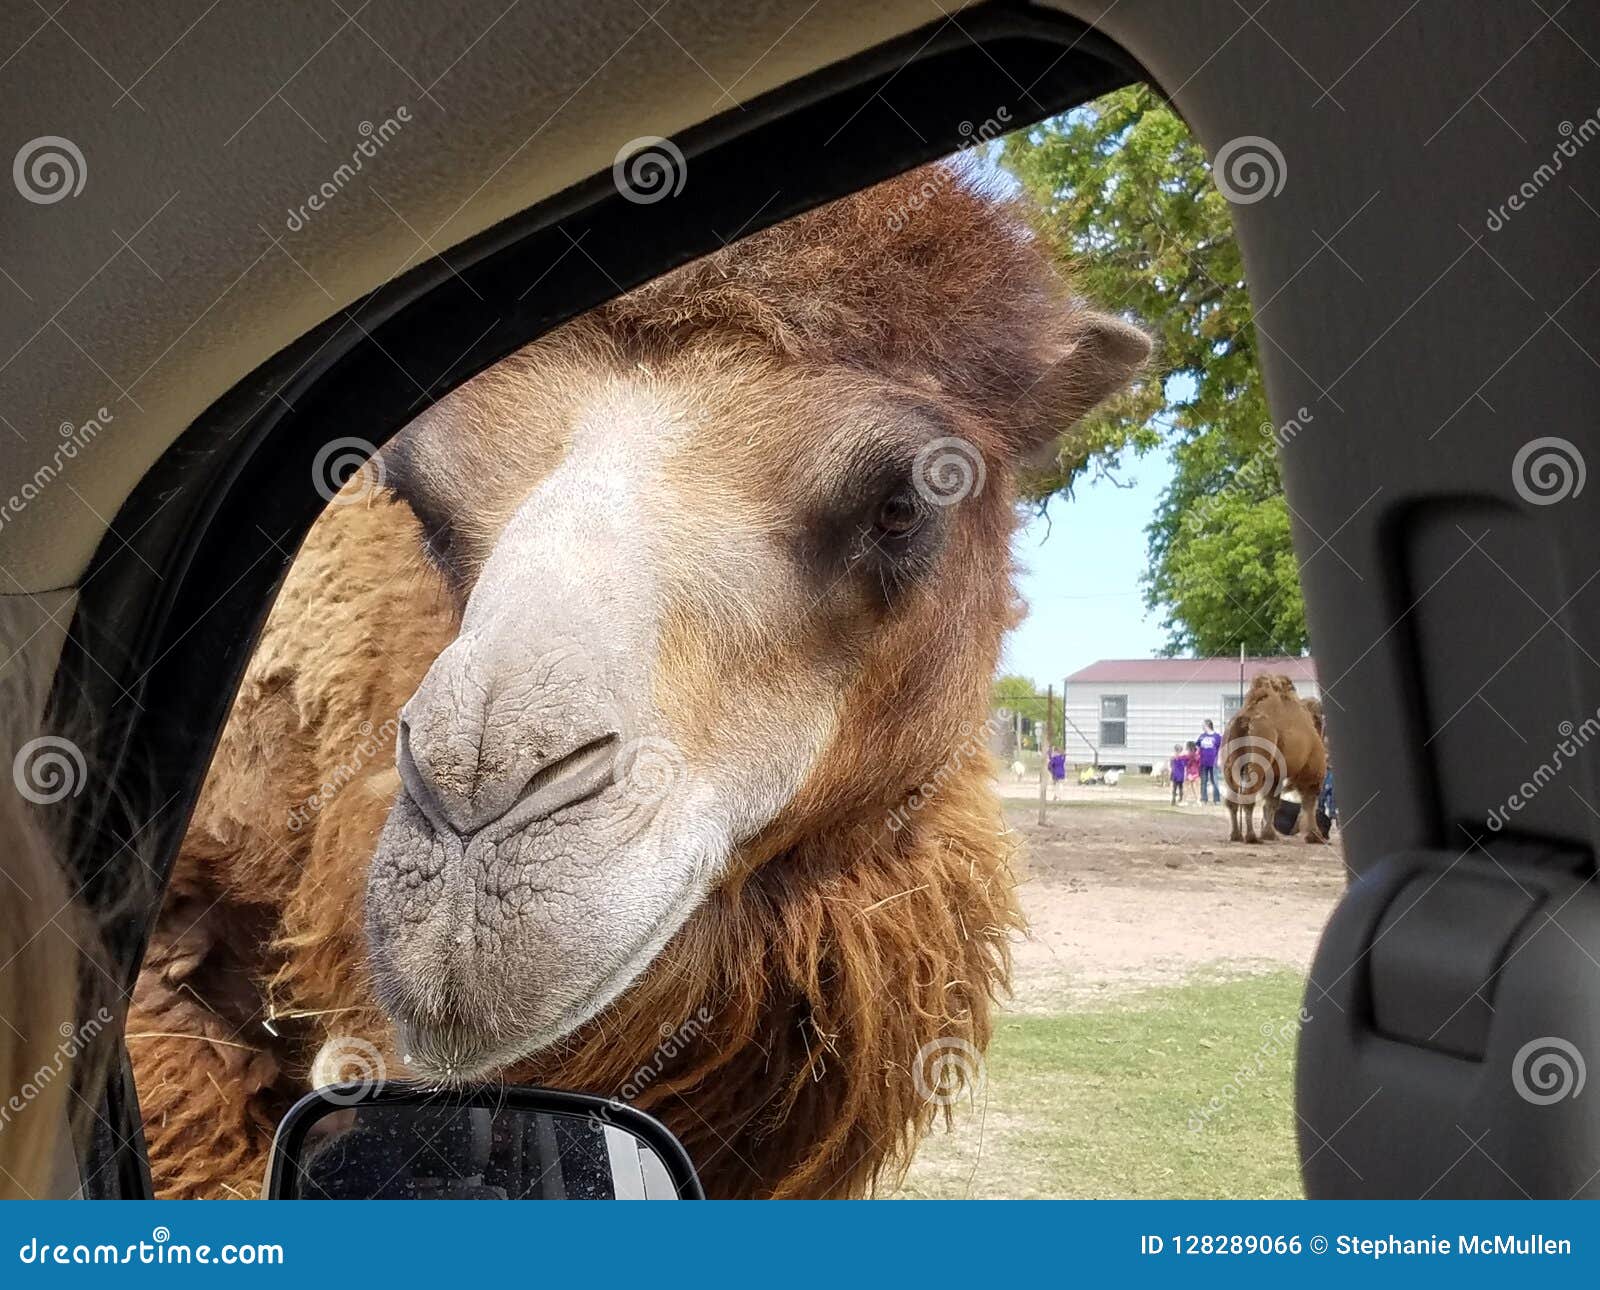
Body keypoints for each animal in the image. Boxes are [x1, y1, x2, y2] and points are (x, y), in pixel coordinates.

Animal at [1222, 673, 1328, 845]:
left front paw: (1269, 834)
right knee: (1248, 796)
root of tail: (1245, 720)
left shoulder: (1276, 774)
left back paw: (1236, 835)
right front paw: (1314, 836)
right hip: (1260, 751)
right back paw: (1251, 837)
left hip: (1229, 758)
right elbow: (1309, 799)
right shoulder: (1312, 769)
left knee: (1232, 798)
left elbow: (1272, 802)